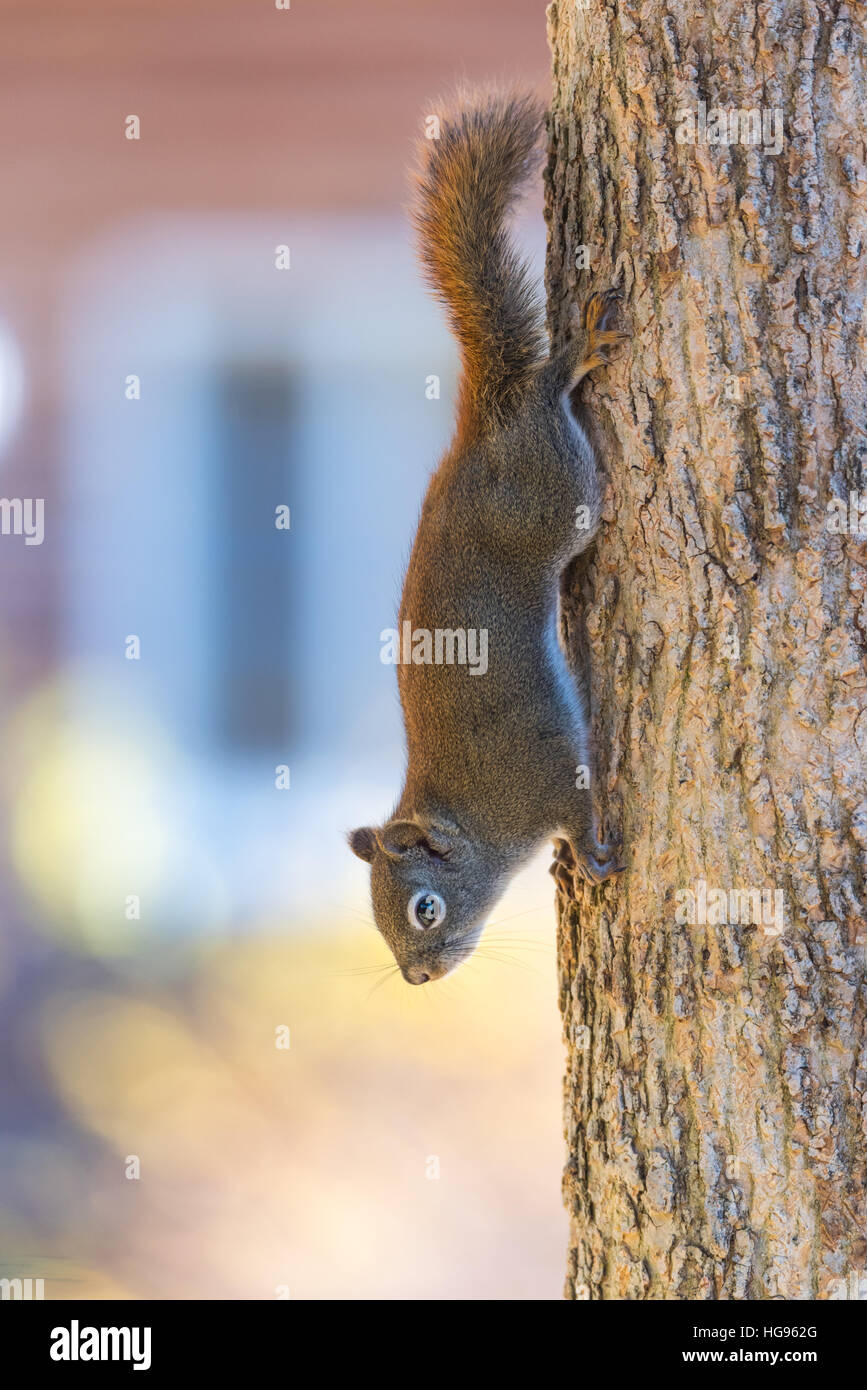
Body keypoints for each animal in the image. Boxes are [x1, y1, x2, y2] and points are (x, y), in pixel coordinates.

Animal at [348, 89, 627, 985]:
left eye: (424, 909)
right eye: (377, 925)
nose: (417, 978)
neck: (472, 818)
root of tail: (483, 425)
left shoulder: (544, 777)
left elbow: (578, 809)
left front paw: (593, 857)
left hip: (557, 497)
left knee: (550, 392)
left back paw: (573, 357)